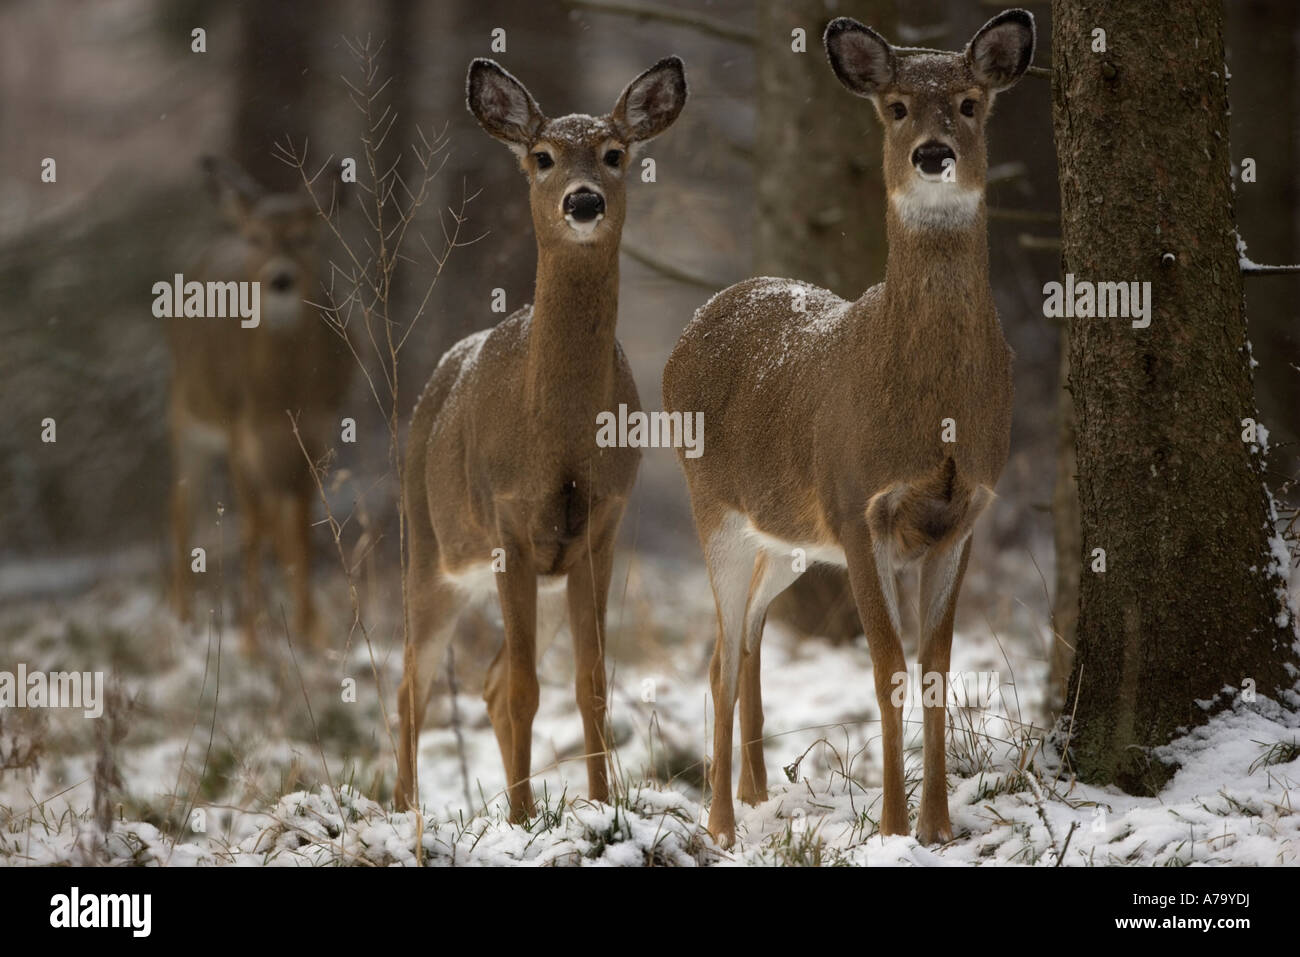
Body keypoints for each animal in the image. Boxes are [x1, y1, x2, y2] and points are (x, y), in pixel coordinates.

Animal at [167, 156, 351, 651]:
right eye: (257, 238)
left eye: (305, 236)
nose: (280, 278)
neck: (281, 392)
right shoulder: (237, 433)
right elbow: (251, 529)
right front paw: (251, 641)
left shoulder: (317, 431)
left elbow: (301, 528)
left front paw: (307, 630)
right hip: (188, 419)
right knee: (183, 511)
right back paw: (183, 622)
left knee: (277, 520)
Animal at [394, 57, 688, 818]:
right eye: (544, 156)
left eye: (614, 153)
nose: (583, 202)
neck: (561, 436)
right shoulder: (509, 521)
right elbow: (529, 688)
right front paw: (525, 821)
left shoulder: (602, 526)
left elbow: (591, 684)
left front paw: (600, 807)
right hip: (431, 550)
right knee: (412, 686)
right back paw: (404, 809)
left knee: (488, 682)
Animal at [662, 10, 1035, 847]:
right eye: (895, 107)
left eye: (969, 103)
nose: (933, 154)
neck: (936, 410)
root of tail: (697, 323)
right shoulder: (857, 503)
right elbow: (886, 666)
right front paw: (895, 825)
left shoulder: (964, 512)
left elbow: (935, 668)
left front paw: (939, 828)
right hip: (714, 508)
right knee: (720, 657)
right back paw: (722, 823)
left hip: (786, 537)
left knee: (751, 635)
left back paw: (758, 793)